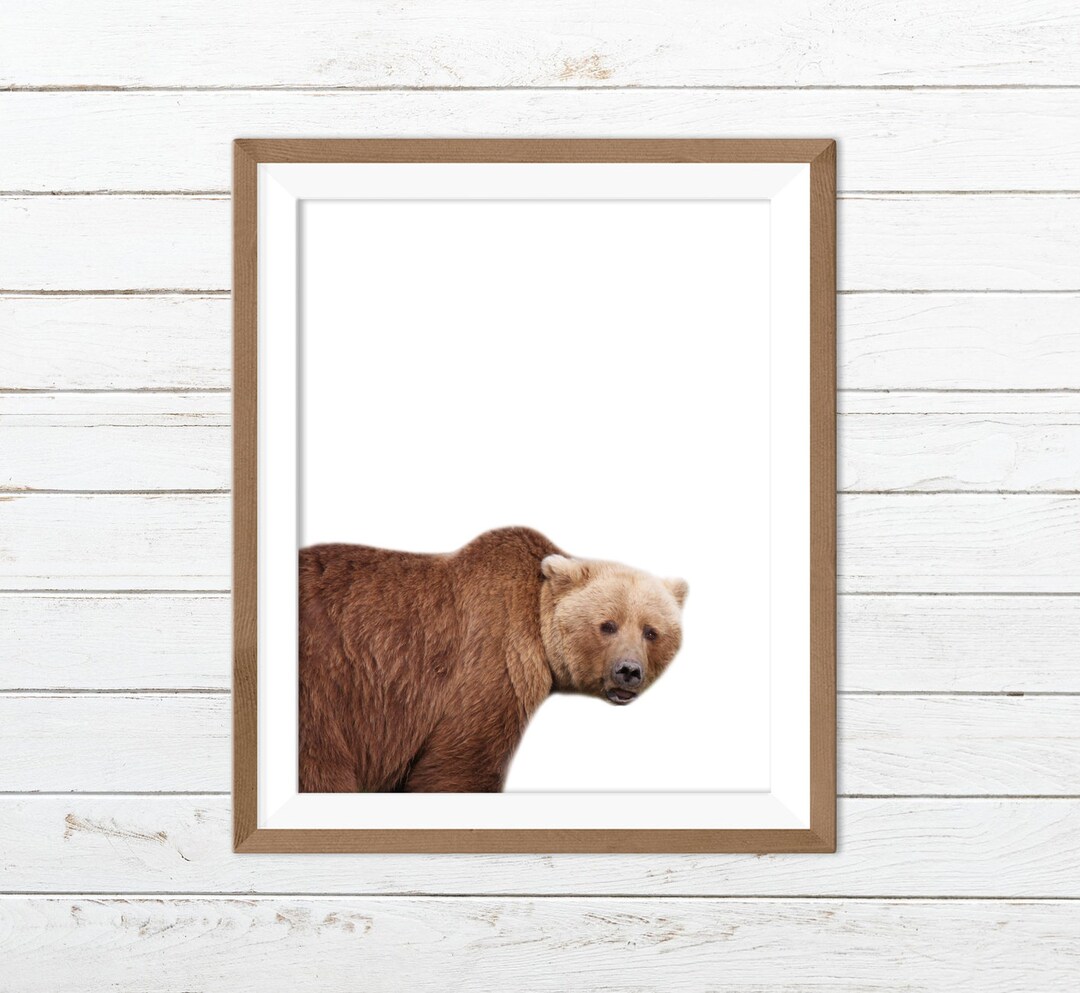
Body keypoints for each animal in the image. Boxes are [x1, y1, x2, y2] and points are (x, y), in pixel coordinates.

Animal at [298, 526, 688, 793]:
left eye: (651, 631)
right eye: (607, 625)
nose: (628, 671)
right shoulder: (494, 663)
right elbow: (459, 765)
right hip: (325, 691)